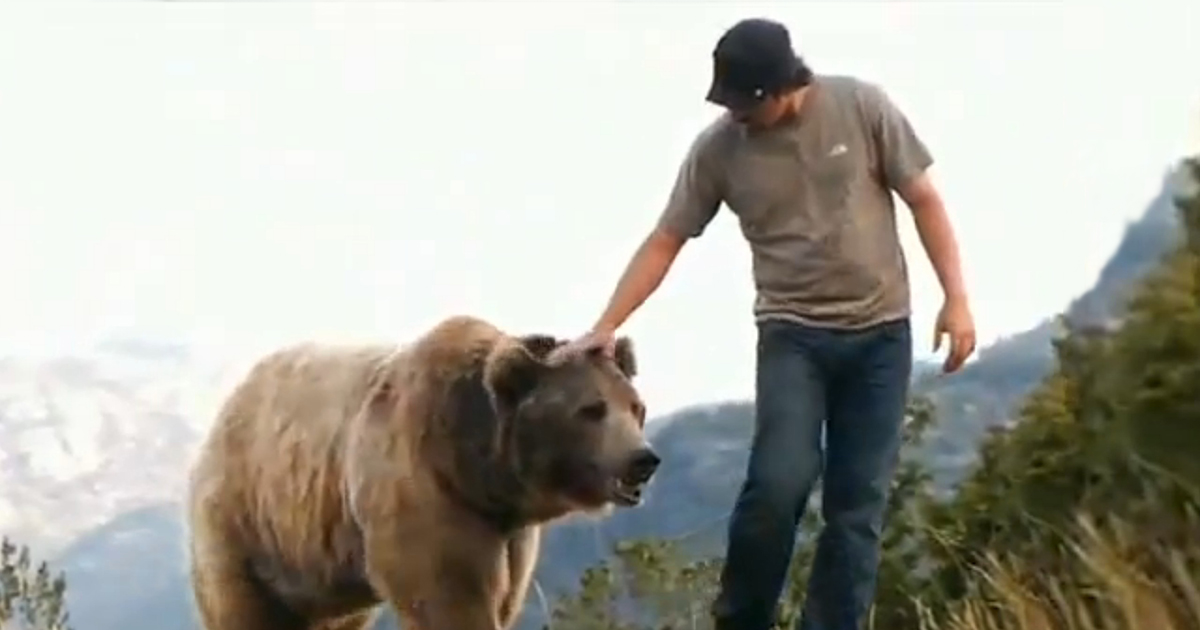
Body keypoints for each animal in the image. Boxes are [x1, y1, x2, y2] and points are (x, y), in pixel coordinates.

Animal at [184, 314, 659, 630]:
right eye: (592, 409)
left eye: (636, 407)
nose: (643, 459)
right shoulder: (425, 493)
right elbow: (448, 596)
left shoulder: (508, 533)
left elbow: (502, 597)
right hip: (244, 527)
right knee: (242, 608)